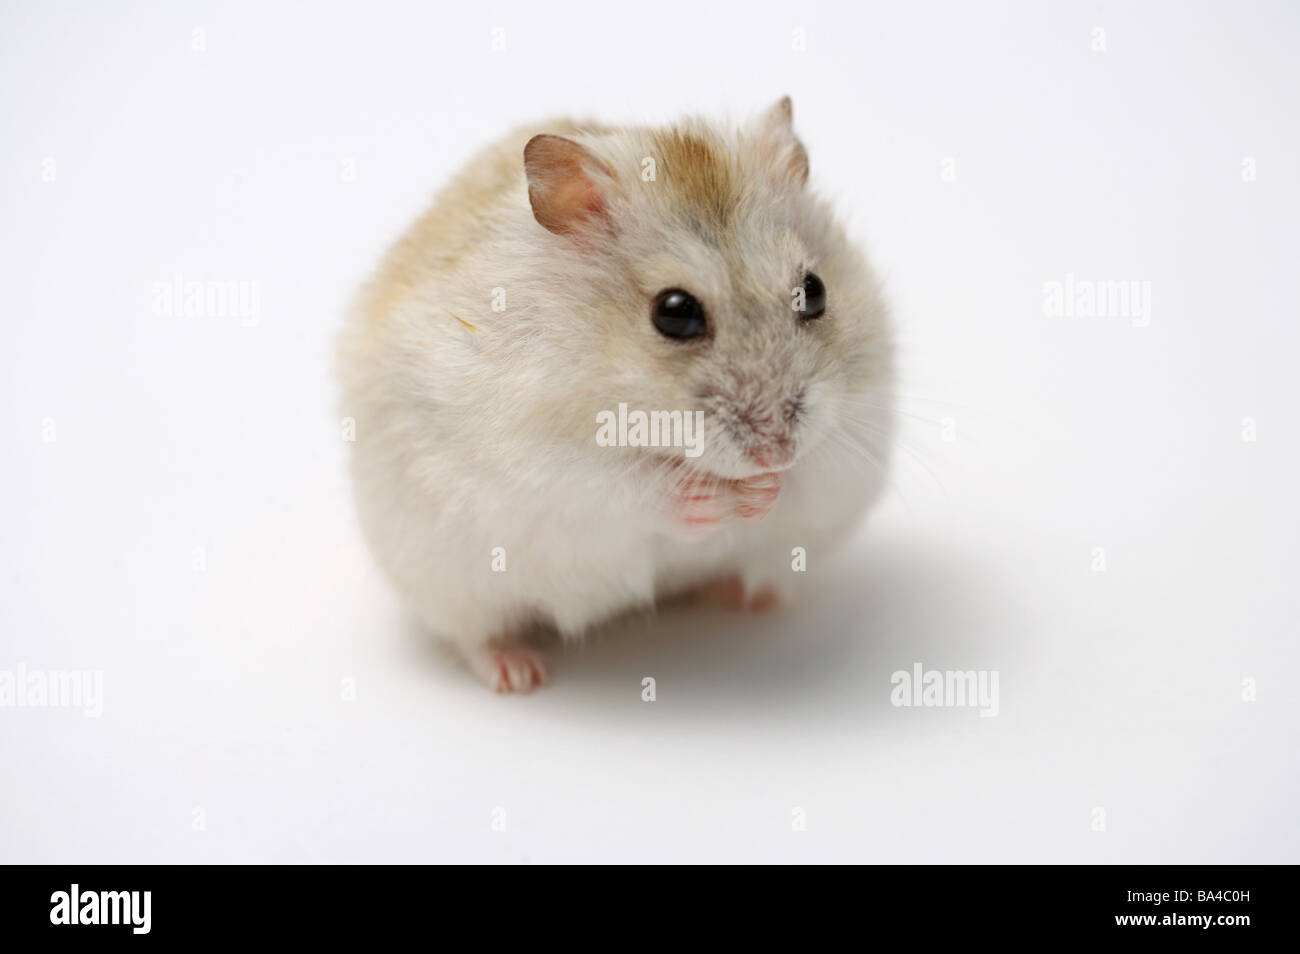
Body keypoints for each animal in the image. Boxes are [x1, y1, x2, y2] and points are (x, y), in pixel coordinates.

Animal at [336, 98, 894, 692]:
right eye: (674, 313)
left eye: (814, 291)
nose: (777, 451)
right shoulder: (547, 468)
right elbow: (634, 487)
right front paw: (714, 497)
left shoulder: (856, 437)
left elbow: (808, 477)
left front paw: (762, 491)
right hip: (445, 581)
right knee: (475, 634)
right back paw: (517, 674)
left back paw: (750, 596)